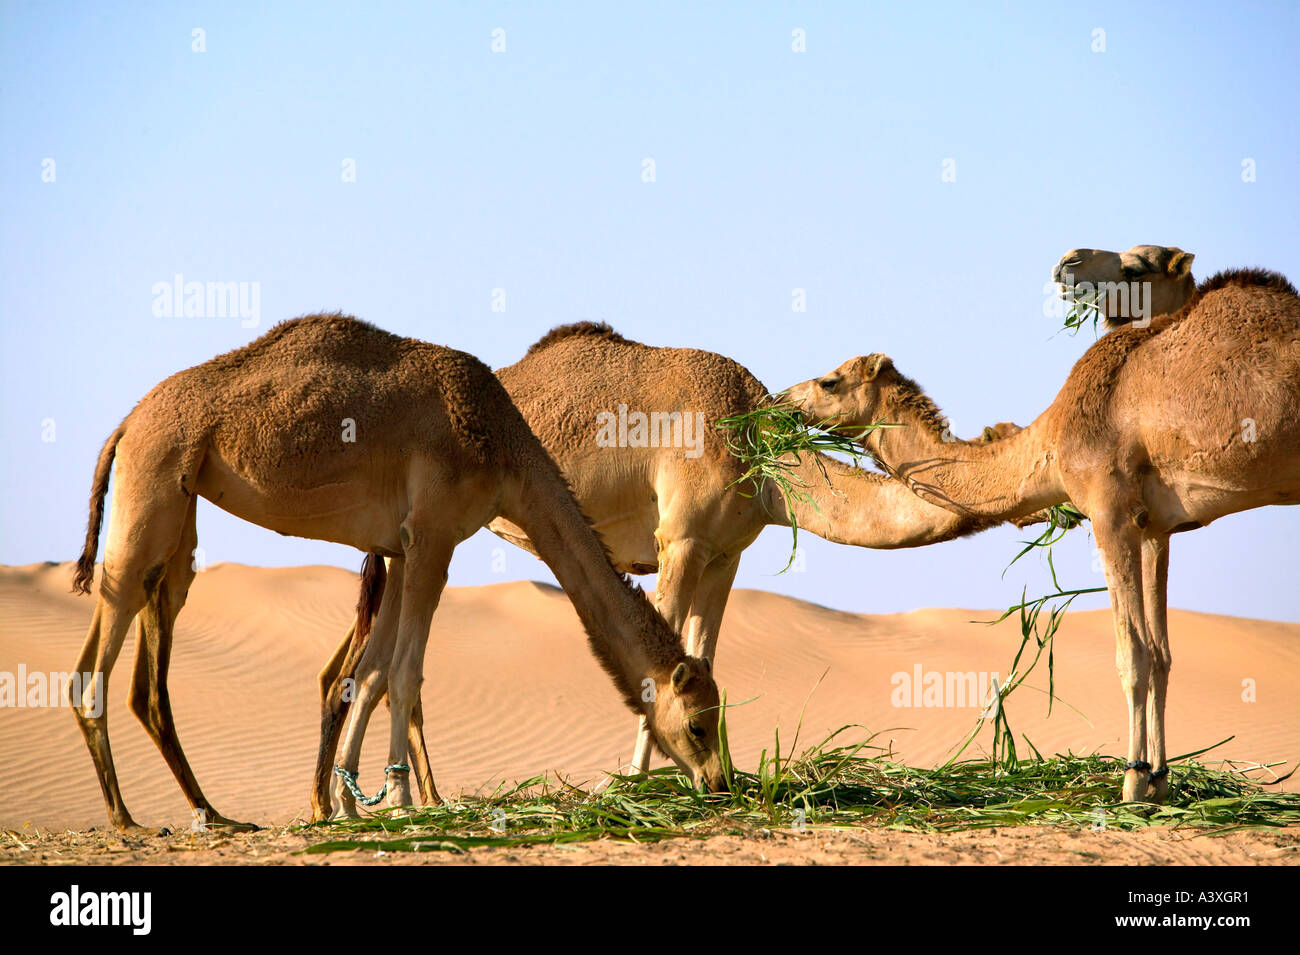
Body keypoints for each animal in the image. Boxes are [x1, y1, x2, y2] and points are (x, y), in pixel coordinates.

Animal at [69, 313, 726, 833]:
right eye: (698, 726)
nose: (718, 785)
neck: (503, 447)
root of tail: (126, 424)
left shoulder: (401, 547)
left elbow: (370, 677)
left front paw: (352, 804)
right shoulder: (434, 533)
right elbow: (406, 675)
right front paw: (410, 803)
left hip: (178, 506)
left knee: (154, 638)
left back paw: (213, 814)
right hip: (152, 477)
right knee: (97, 650)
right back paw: (127, 820)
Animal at [312, 323, 1024, 820]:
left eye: (827, 382)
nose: (788, 403)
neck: (761, 462)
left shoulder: (726, 553)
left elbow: (704, 654)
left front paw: (716, 775)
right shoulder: (678, 539)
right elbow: (665, 659)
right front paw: (635, 783)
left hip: (409, 536)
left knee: (360, 665)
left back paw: (350, 804)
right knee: (382, 663)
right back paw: (395, 803)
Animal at [783, 269, 1300, 802]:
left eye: (828, 381)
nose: (781, 401)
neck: (1055, 437)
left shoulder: (1109, 510)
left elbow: (1132, 653)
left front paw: (1132, 780)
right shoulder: (1157, 527)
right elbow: (1161, 655)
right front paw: (1159, 781)